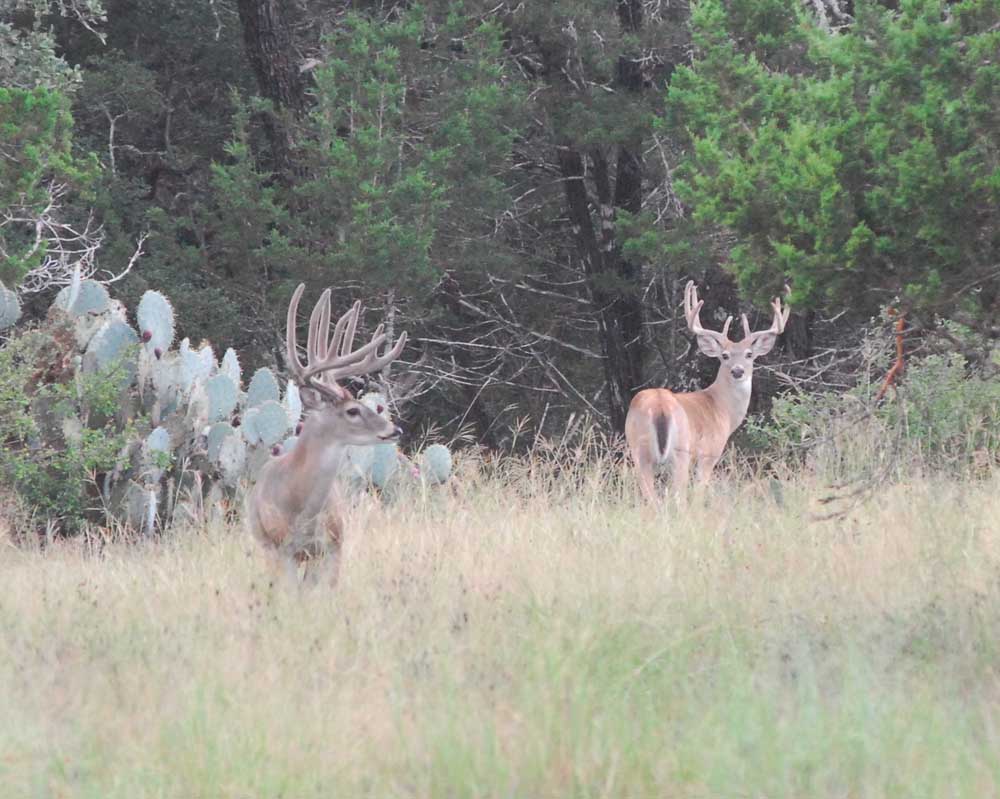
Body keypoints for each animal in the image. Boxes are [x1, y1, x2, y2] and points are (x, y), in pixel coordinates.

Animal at [246, 283, 407, 585]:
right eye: (352, 411)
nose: (395, 429)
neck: (302, 507)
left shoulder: (334, 546)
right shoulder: (283, 549)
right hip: (264, 544)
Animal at [625, 281, 789, 504]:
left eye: (749, 354)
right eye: (725, 355)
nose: (738, 371)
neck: (722, 408)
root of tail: (659, 406)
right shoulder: (709, 453)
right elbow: (699, 493)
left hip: (638, 450)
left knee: (650, 497)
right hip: (680, 451)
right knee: (679, 496)